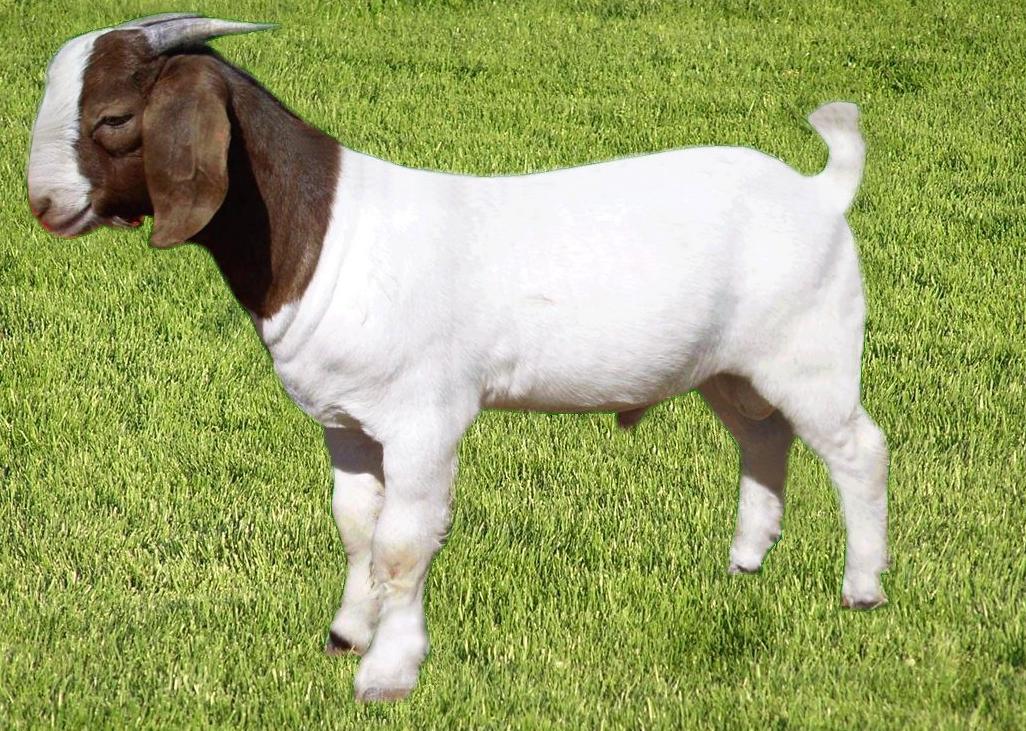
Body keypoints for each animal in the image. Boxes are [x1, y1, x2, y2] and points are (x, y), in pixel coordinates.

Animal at [27, 15, 890, 702]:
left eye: (112, 116)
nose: (41, 204)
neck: (325, 231)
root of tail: (822, 190)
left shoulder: (423, 419)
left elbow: (403, 544)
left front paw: (386, 673)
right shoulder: (346, 422)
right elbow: (357, 527)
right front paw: (347, 632)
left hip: (811, 349)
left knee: (857, 448)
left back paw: (863, 587)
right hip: (731, 366)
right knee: (763, 434)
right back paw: (747, 558)